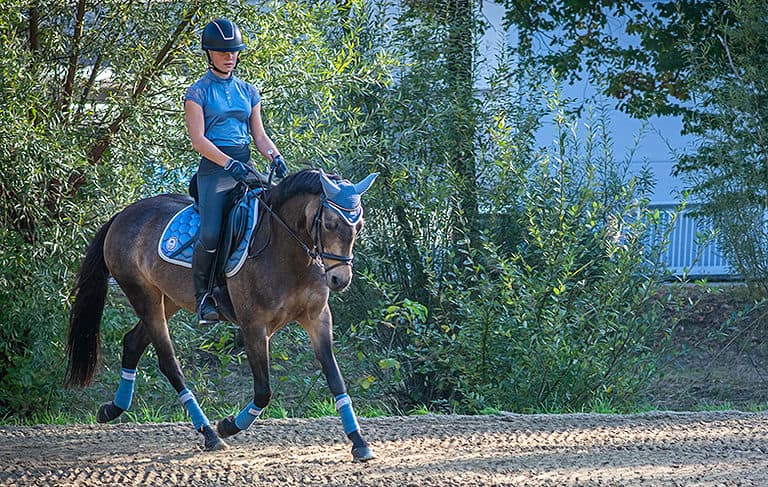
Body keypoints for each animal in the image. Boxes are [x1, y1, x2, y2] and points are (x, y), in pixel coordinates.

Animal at [64, 168, 378, 461]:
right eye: (329, 223)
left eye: (359, 226)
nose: (340, 280)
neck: (287, 251)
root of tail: (123, 215)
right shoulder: (254, 327)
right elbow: (263, 391)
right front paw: (228, 426)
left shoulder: (318, 319)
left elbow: (336, 379)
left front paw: (359, 442)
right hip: (144, 296)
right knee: (169, 363)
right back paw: (209, 434)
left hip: (169, 299)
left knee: (132, 342)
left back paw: (112, 409)